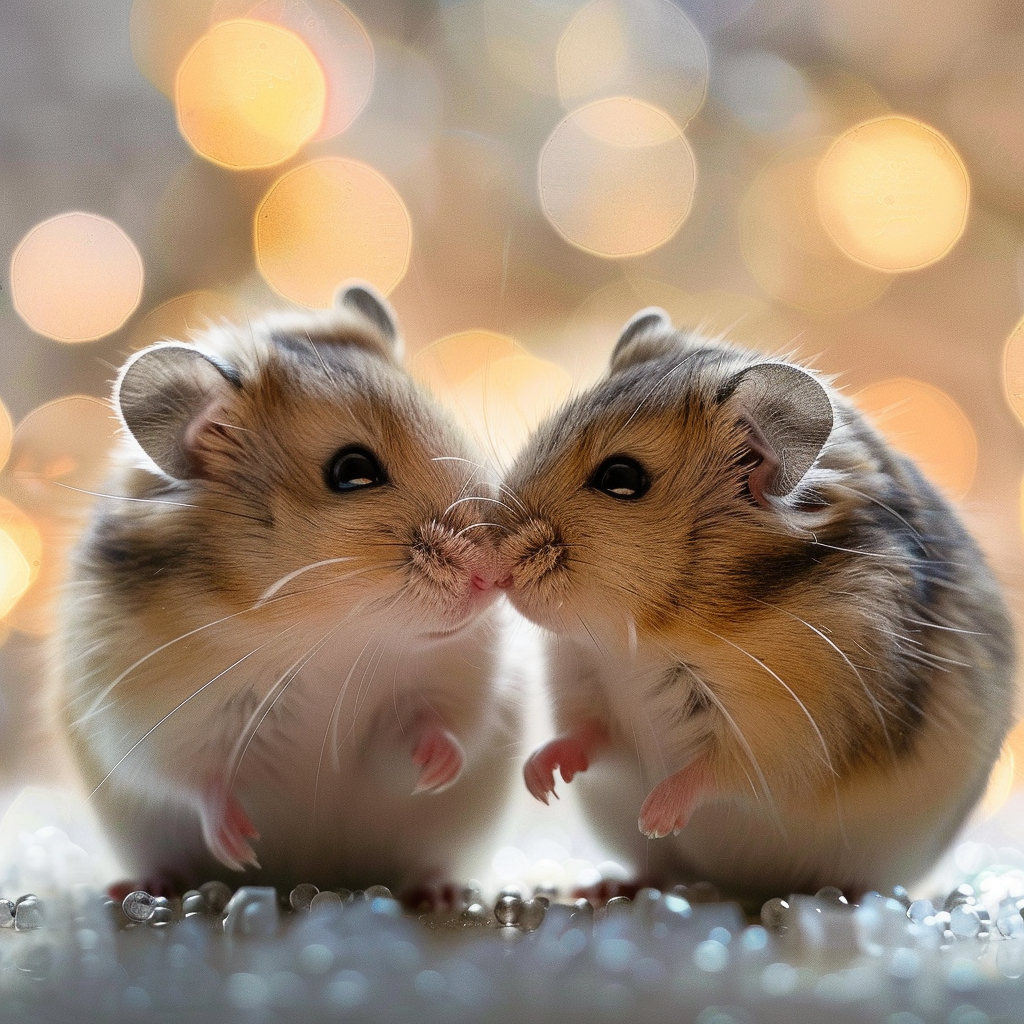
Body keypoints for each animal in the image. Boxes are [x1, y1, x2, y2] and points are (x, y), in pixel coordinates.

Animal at [55, 282, 522, 894]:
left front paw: (438, 772)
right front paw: (239, 850)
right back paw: (149, 886)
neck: (323, 634)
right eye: (351, 470)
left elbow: (429, 729)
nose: (492, 579)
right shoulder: (149, 726)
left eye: (449, 428)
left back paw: (439, 888)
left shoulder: (444, 690)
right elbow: (197, 781)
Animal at [497, 307, 1016, 905]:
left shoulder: (790, 730)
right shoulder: (588, 685)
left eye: (621, 478)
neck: (644, 641)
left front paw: (655, 816)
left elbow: (718, 772)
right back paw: (604, 888)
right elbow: (586, 735)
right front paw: (538, 782)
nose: (495, 564)